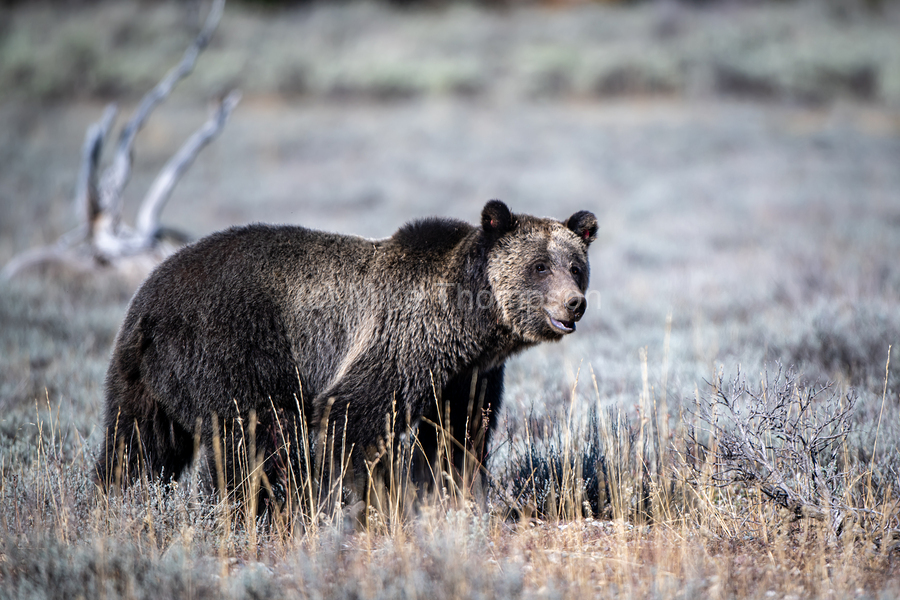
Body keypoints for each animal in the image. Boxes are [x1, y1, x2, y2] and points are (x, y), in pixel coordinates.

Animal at [94, 199, 597, 507]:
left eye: (575, 266)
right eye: (539, 266)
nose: (574, 303)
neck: (468, 325)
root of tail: (148, 300)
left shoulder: (466, 376)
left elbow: (458, 433)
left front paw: (451, 490)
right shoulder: (398, 341)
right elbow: (354, 418)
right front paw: (363, 496)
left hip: (143, 376)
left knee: (137, 442)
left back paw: (117, 498)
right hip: (235, 345)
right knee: (254, 434)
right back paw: (259, 506)